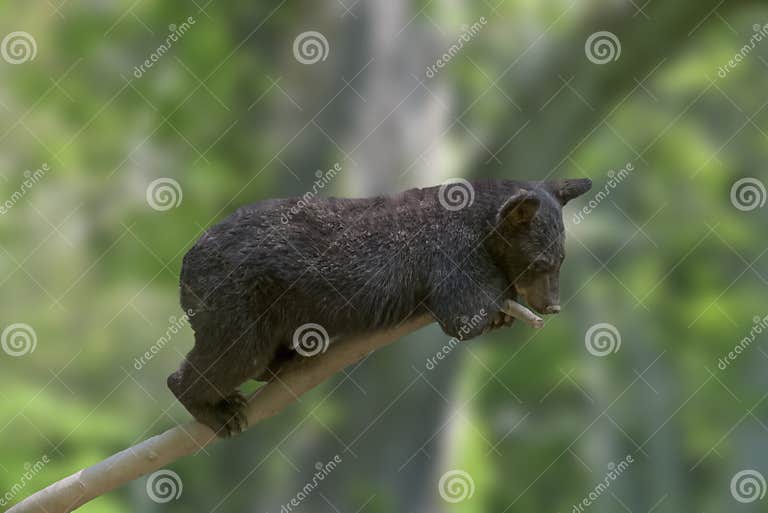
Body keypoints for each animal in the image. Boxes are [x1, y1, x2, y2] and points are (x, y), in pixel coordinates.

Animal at [167, 177, 592, 436]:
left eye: (561, 260)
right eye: (539, 264)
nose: (552, 306)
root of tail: (186, 260)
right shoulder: (452, 254)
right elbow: (462, 315)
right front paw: (501, 304)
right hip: (232, 296)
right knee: (234, 354)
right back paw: (213, 408)